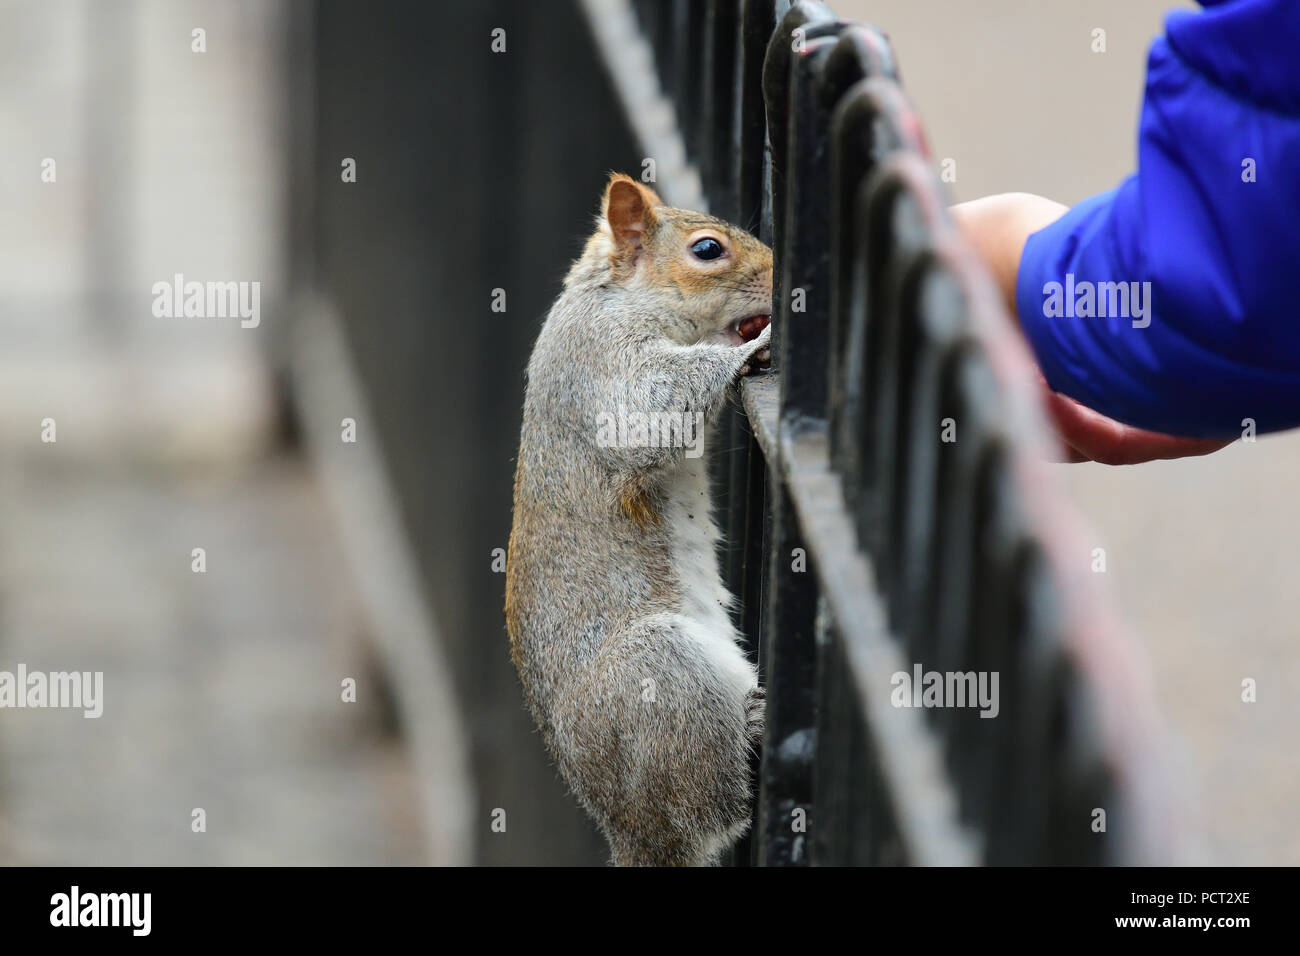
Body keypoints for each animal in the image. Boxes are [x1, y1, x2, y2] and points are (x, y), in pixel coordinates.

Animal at [505, 173, 774, 866]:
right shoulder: (604, 368)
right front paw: (755, 342)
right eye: (707, 250)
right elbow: (652, 410)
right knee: (713, 809)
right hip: (660, 675)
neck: (613, 297)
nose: (778, 279)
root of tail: (632, 831)